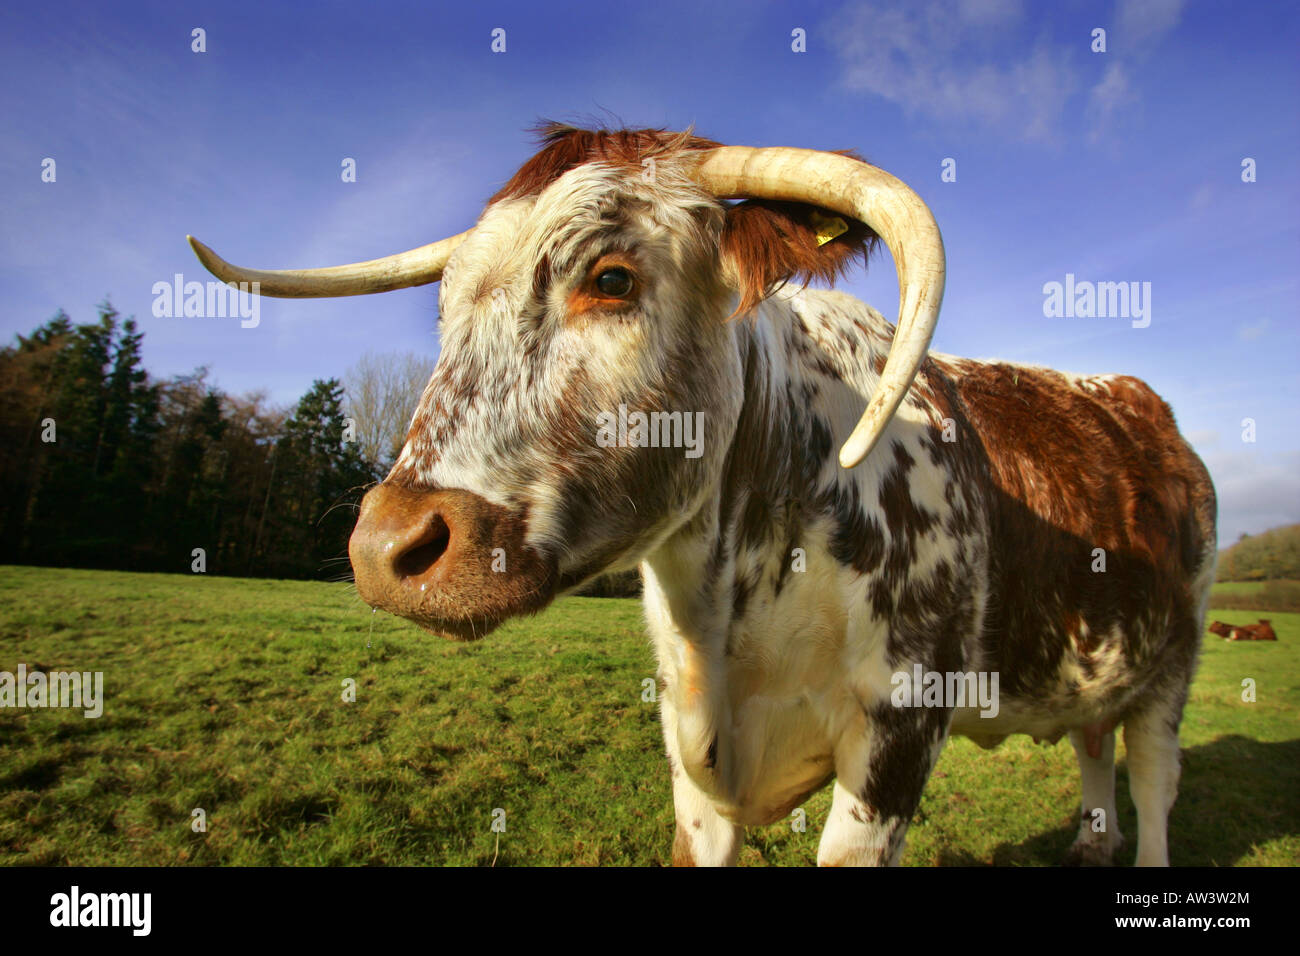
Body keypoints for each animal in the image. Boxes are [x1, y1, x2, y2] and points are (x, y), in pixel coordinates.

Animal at [188, 123, 1218, 867]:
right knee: (1094, 747)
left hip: (1174, 666)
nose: (386, 547)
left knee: (1155, 783)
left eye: (610, 277)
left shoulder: (896, 738)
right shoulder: (691, 768)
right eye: (443, 311)